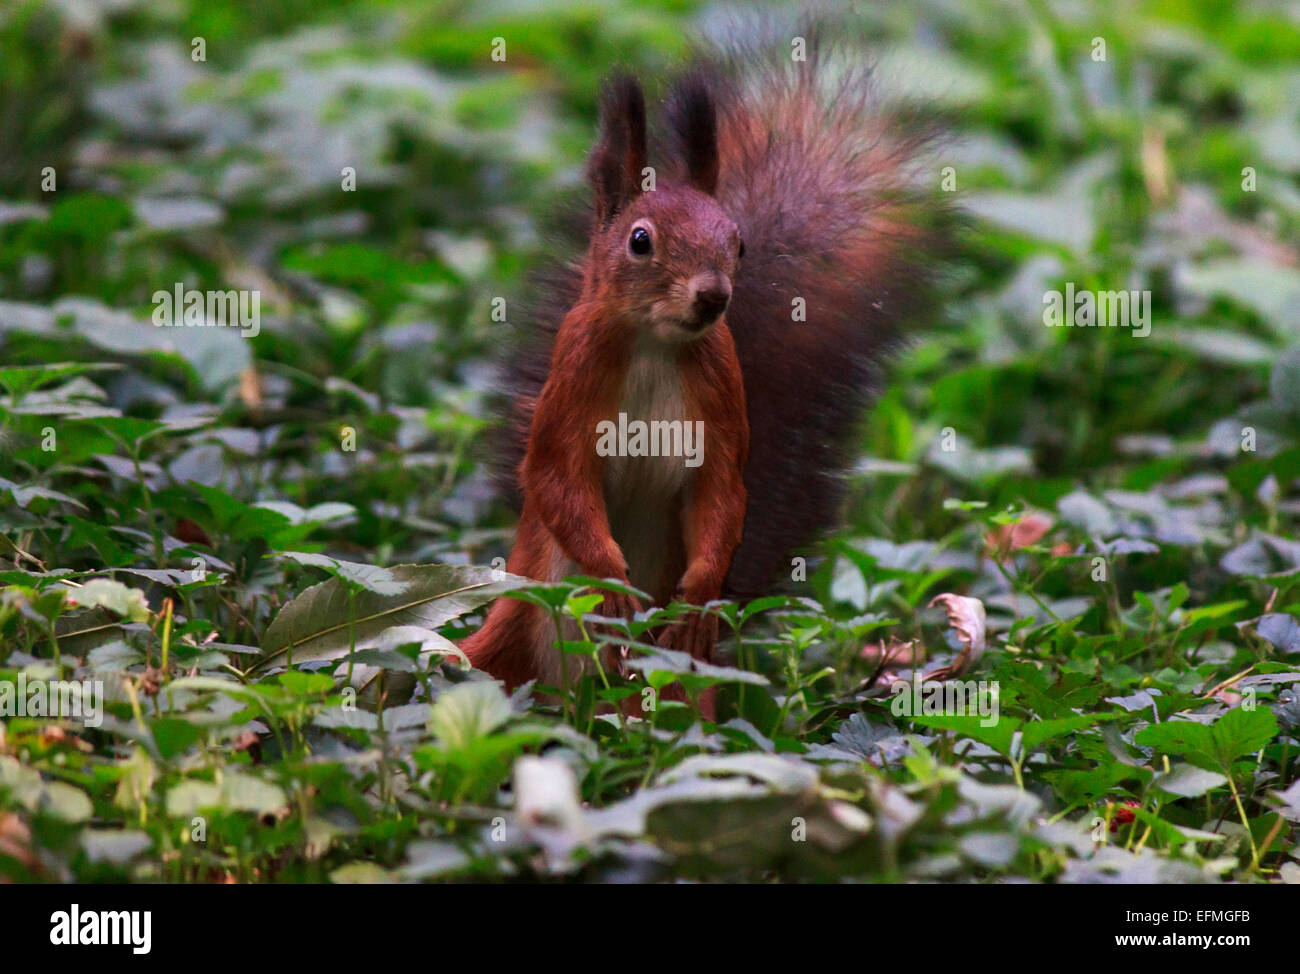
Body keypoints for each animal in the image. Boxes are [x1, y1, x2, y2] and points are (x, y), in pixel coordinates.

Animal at [460, 34, 949, 699]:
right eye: (640, 240)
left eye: (738, 243)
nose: (714, 296)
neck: (655, 344)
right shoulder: (574, 378)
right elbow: (555, 480)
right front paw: (612, 578)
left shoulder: (721, 390)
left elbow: (722, 495)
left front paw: (697, 595)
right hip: (501, 643)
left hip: (673, 679)